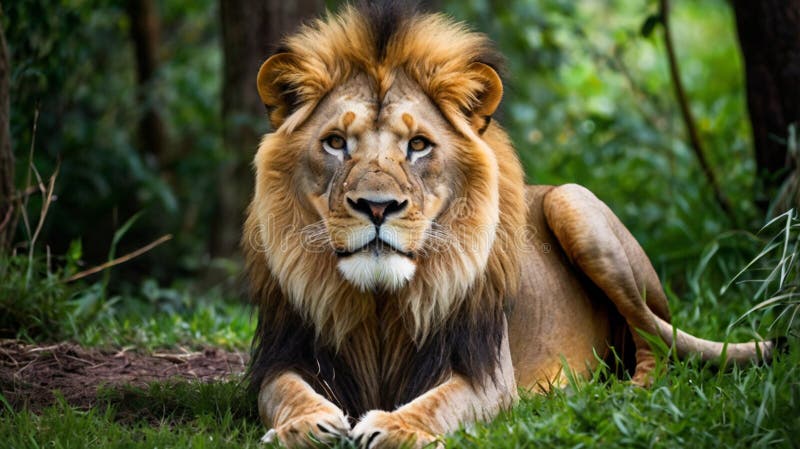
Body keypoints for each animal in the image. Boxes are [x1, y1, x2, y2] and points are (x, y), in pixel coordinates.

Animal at [243, 3, 776, 448]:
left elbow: (439, 403)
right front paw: (302, 426)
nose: (377, 207)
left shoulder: (487, 376)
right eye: (336, 142)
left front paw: (397, 427)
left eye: (418, 145)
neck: (379, 306)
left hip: (574, 205)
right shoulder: (282, 356)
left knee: (656, 346)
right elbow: (286, 392)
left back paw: (622, 395)